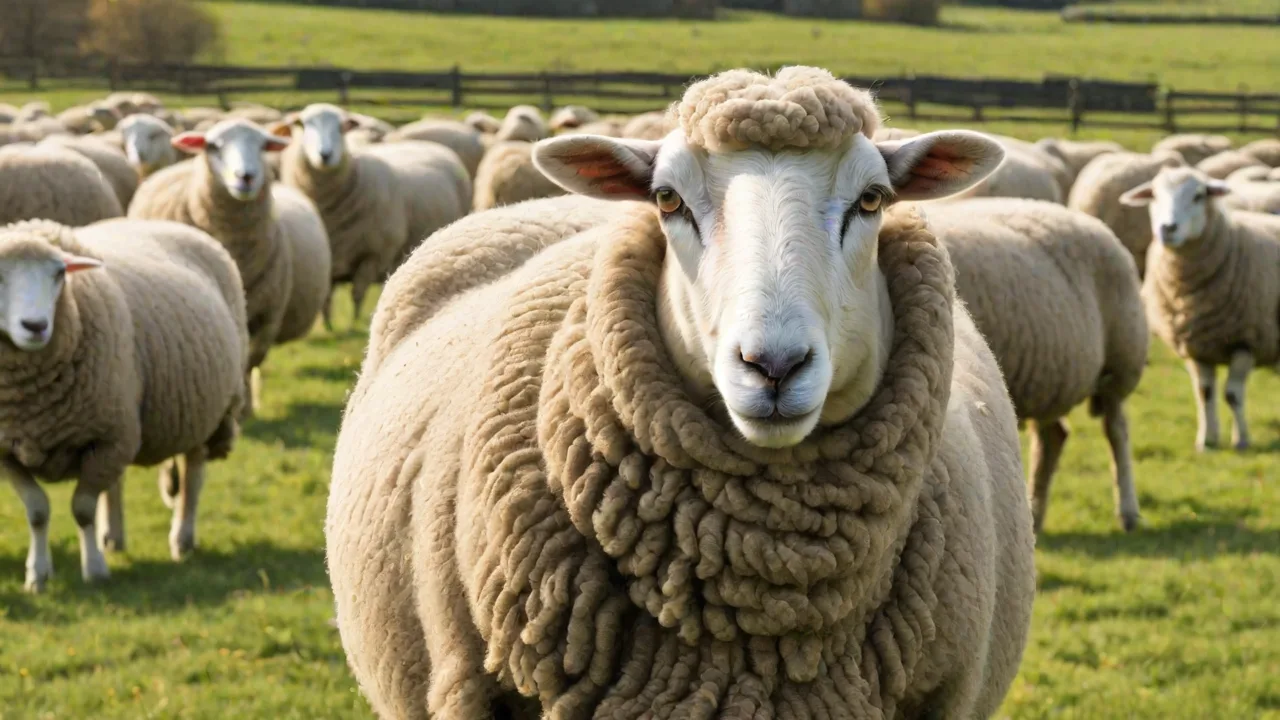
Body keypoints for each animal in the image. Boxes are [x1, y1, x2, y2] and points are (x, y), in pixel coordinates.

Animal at [0, 218, 247, 591]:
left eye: (59, 274)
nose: (36, 326)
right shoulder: (6, 452)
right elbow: (38, 512)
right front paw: (37, 576)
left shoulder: (109, 437)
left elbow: (82, 510)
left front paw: (94, 570)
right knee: (115, 483)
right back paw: (113, 537)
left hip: (205, 412)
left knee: (193, 474)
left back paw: (182, 538)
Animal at [128, 120, 294, 415]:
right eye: (215, 146)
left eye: (263, 145)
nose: (246, 176)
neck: (238, 257)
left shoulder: (268, 316)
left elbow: (251, 360)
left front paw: (247, 407)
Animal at [274, 104, 471, 327]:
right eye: (302, 124)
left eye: (342, 127)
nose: (325, 154)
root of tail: (427, 144)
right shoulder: (327, 261)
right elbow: (326, 299)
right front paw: (328, 326)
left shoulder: (373, 254)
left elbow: (357, 294)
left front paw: (354, 323)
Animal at [922, 198, 1148, 532]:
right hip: (1049, 378)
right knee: (1053, 437)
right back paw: (1035, 515)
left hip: (1119, 363)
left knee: (1116, 430)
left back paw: (1128, 511)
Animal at [1122, 166, 1280, 451]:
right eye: (1154, 195)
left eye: (1198, 196)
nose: (1167, 228)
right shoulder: (1197, 345)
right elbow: (1204, 393)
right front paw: (1207, 441)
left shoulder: (1246, 340)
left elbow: (1232, 394)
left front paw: (1241, 440)